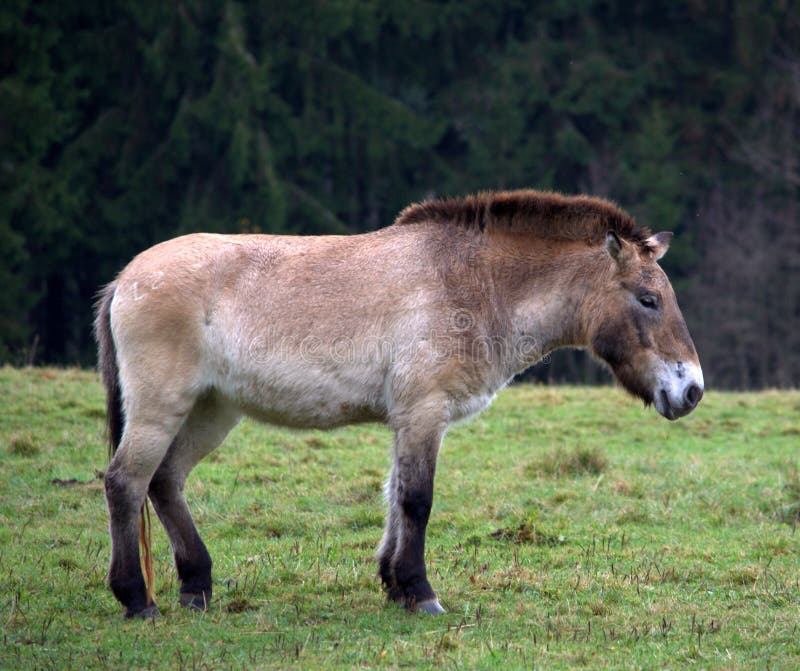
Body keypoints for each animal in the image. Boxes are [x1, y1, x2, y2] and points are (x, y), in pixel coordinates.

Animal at [94, 189, 703, 618]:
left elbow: (393, 497)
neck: (472, 281)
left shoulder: (409, 420)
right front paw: (420, 592)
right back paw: (137, 601)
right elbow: (416, 500)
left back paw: (196, 587)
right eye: (648, 300)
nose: (692, 390)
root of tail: (125, 278)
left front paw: (392, 585)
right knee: (126, 482)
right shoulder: (423, 413)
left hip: (211, 410)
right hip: (161, 407)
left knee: (165, 481)